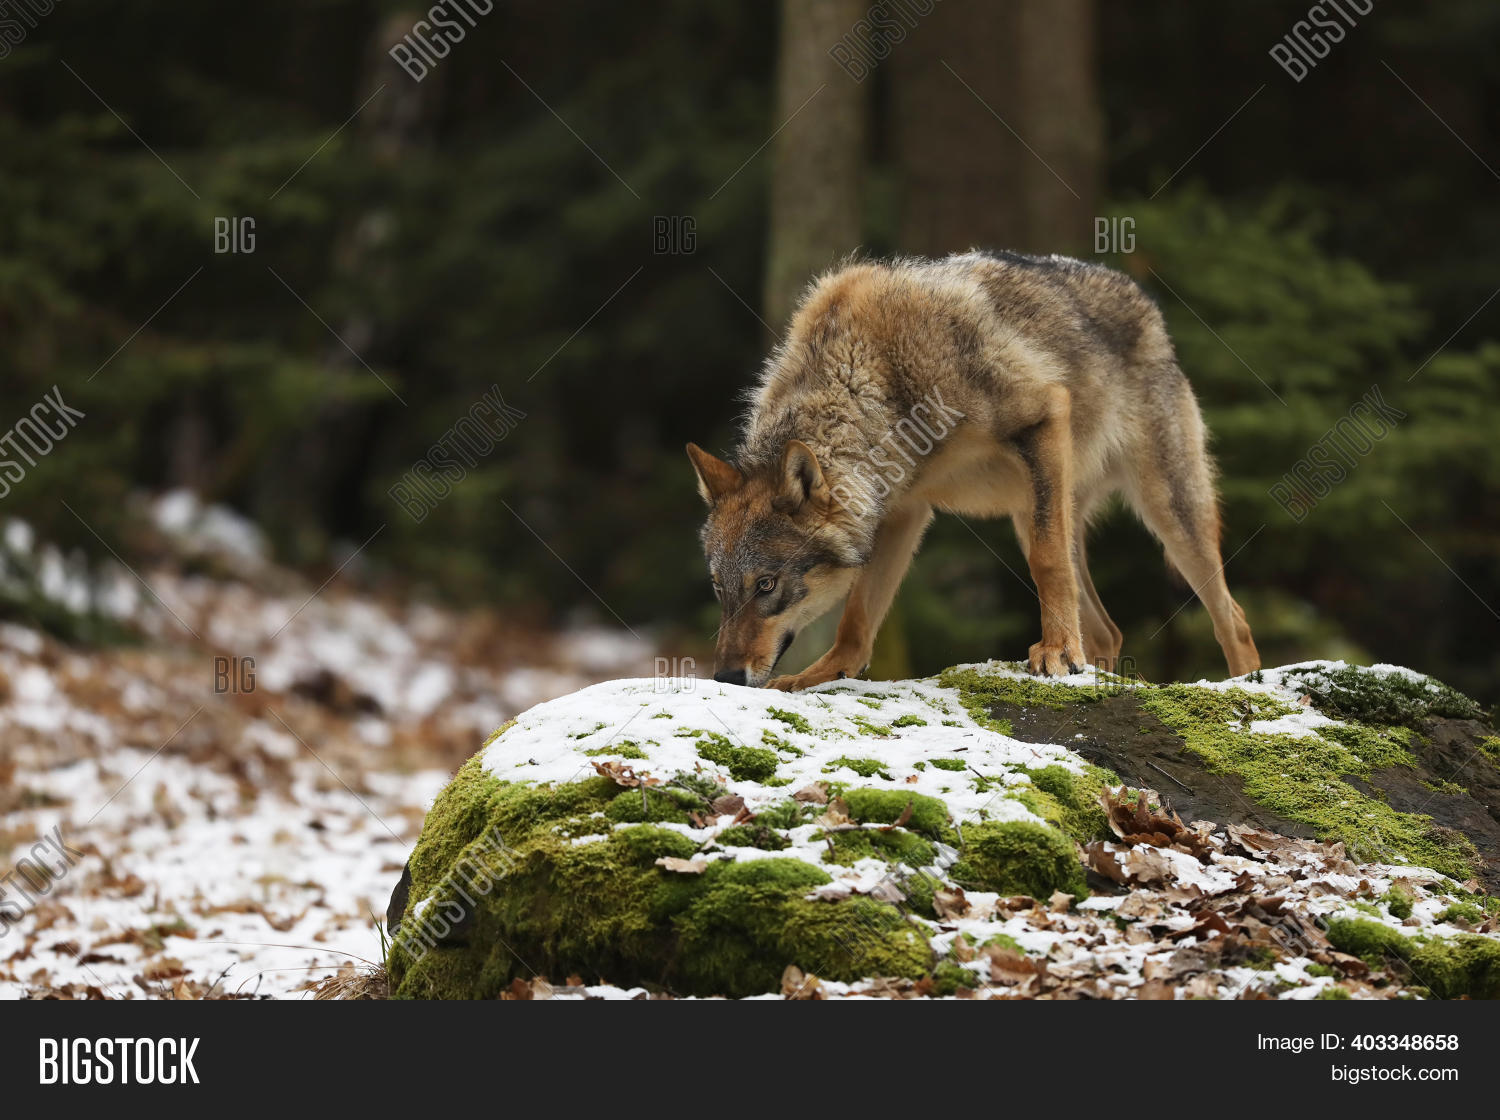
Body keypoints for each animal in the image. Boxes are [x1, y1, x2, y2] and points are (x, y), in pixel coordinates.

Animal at [687, 251, 1260, 690]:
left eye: (766, 585)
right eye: (718, 588)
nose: (726, 679)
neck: (874, 377)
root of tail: (1142, 298)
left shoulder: (1043, 415)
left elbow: (1048, 568)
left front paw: (1056, 653)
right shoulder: (902, 510)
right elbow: (857, 617)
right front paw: (823, 674)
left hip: (1157, 511)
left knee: (1233, 618)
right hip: (1033, 511)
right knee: (1109, 631)